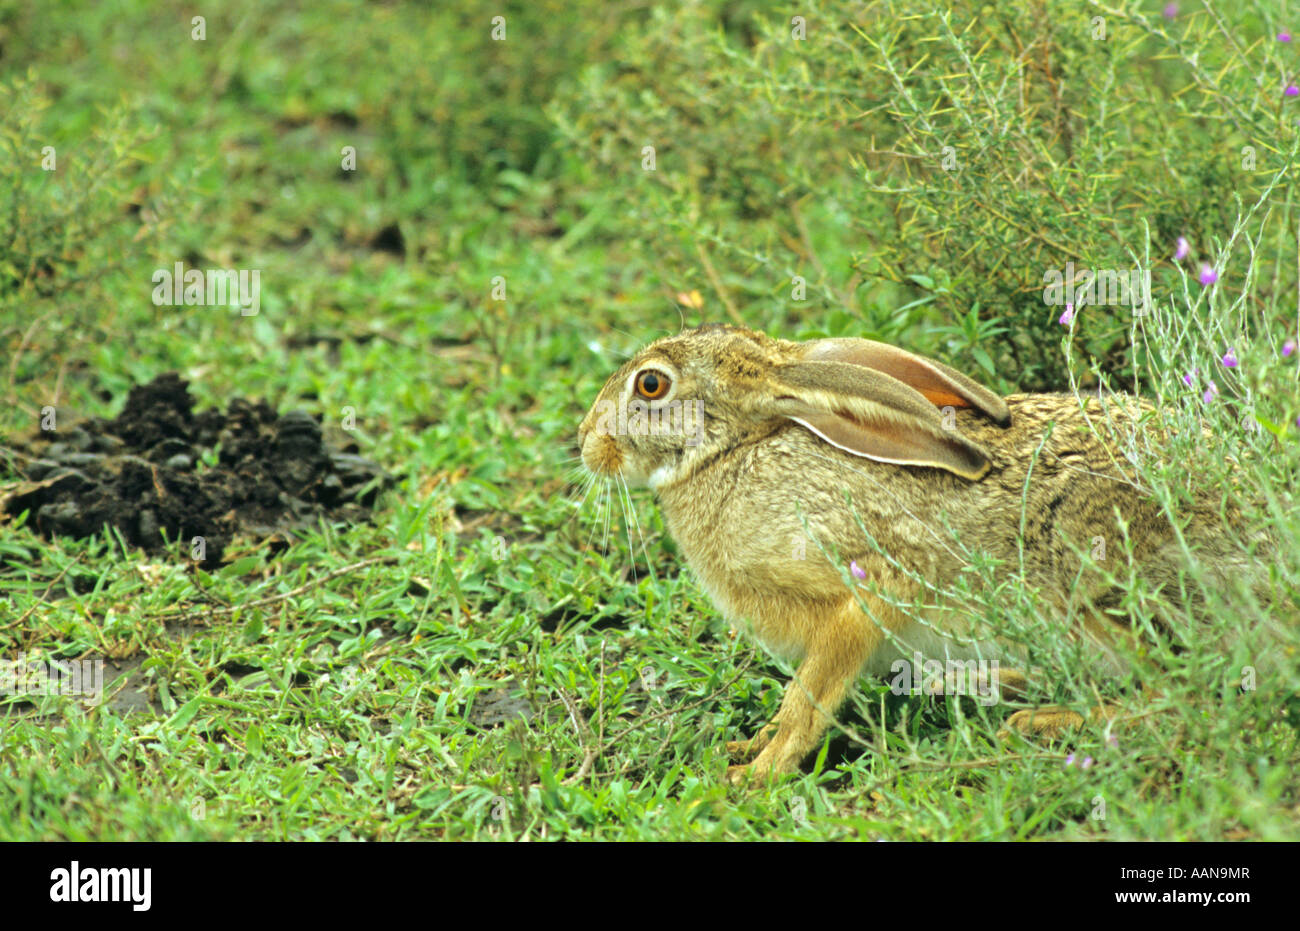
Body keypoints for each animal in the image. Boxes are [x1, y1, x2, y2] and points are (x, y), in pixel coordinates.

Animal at [577, 323, 1273, 783]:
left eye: (650, 384)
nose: (585, 440)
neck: (731, 455)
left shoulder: (867, 585)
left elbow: (808, 696)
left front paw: (760, 773)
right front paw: (749, 748)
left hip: (1099, 593)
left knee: (1184, 688)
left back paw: (1044, 721)